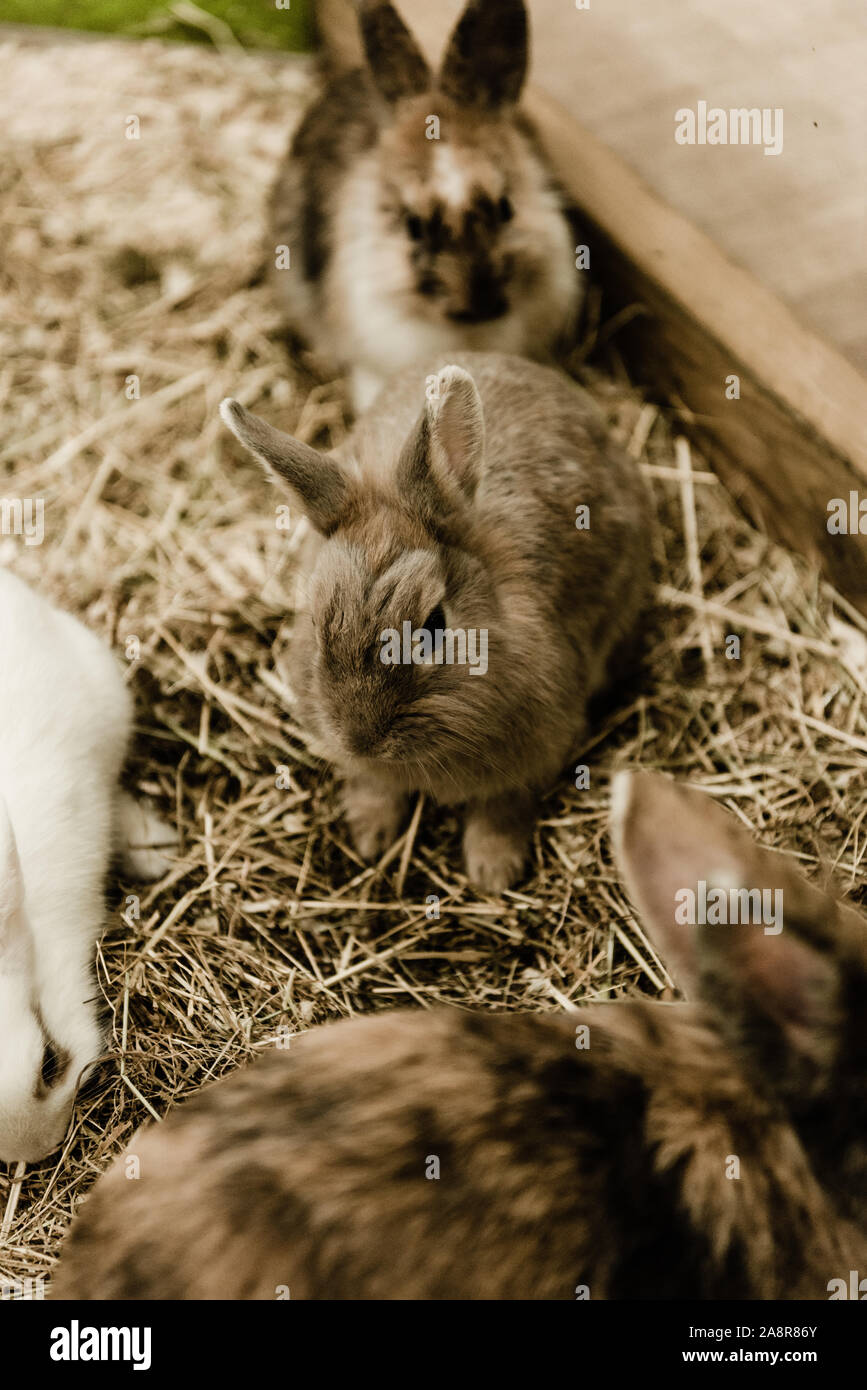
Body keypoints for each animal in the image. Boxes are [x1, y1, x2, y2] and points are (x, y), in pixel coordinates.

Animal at [220, 352, 651, 893]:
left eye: (433, 628)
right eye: (318, 623)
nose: (361, 739)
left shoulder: (533, 753)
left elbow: (502, 810)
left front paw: (493, 872)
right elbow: (373, 785)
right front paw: (371, 837)